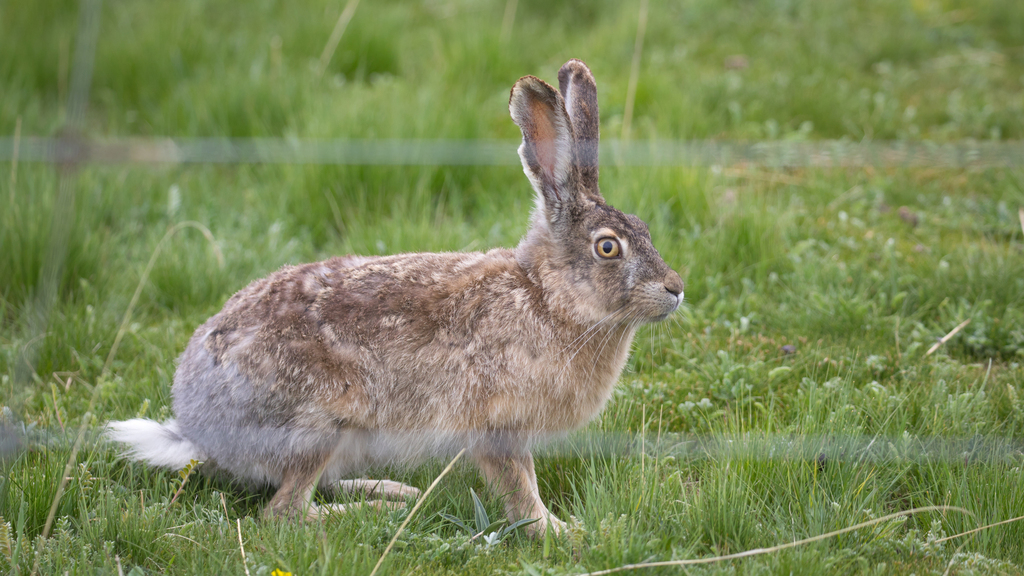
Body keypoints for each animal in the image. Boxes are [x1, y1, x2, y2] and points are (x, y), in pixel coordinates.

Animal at [107, 59, 684, 536]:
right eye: (608, 247)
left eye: (645, 228)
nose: (676, 289)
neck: (546, 296)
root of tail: (199, 429)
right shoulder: (496, 426)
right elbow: (520, 489)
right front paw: (562, 532)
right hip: (319, 422)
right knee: (285, 512)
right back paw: (371, 512)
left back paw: (395, 491)